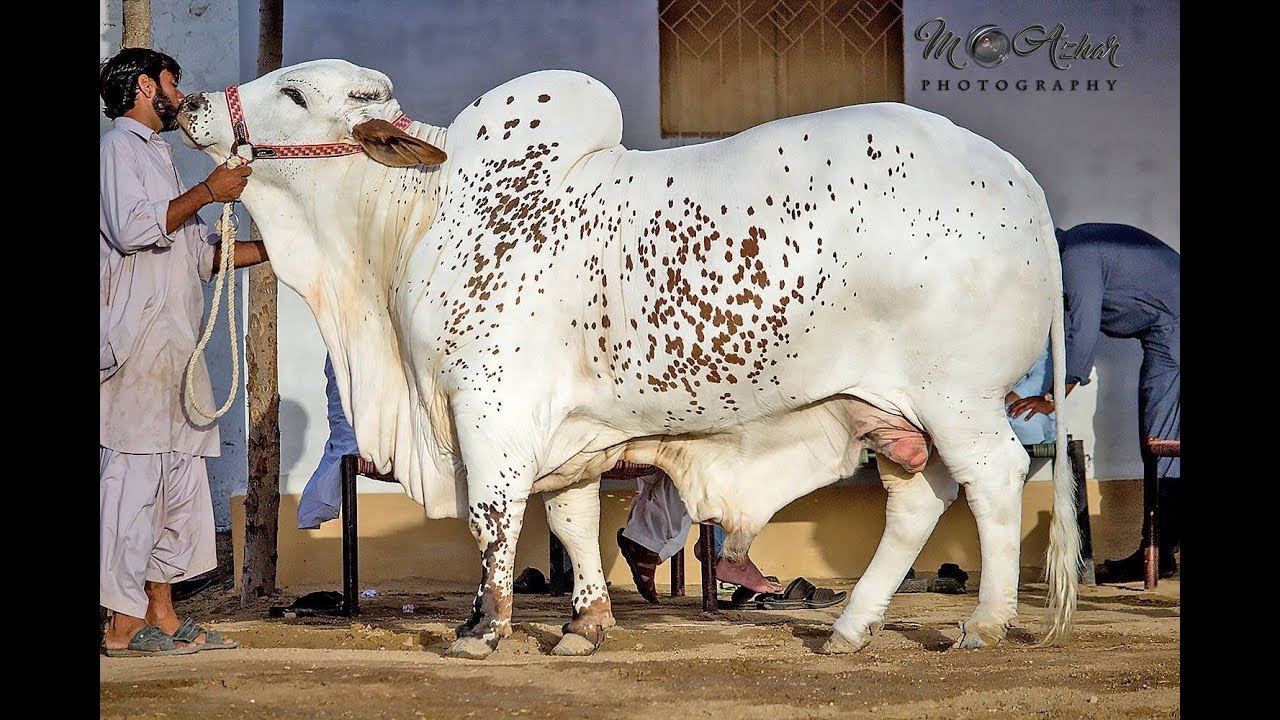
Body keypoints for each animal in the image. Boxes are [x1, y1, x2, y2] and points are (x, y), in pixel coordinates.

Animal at [178, 59, 1079, 660]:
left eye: (297, 94)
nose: (189, 102)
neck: (419, 217)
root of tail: (1016, 178)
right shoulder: (569, 430)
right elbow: (571, 520)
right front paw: (584, 623)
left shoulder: (491, 408)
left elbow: (494, 518)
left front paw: (487, 630)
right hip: (890, 411)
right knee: (918, 502)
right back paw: (852, 629)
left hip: (957, 399)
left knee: (993, 481)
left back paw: (984, 623)